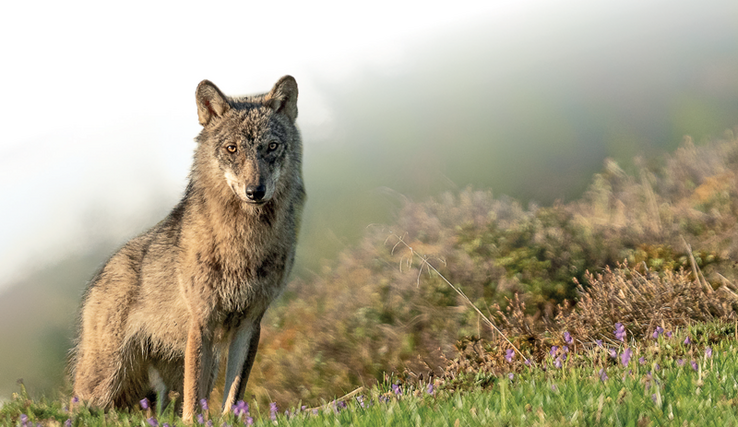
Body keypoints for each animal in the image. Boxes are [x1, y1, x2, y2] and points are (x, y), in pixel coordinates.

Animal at [71, 76, 306, 423]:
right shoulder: (202, 320)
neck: (243, 242)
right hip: (105, 381)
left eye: (271, 147)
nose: (255, 191)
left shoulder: (251, 322)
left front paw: (230, 420)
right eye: (232, 148)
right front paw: (194, 422)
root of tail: (99, 275)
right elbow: (194, 400)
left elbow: (233, 392)